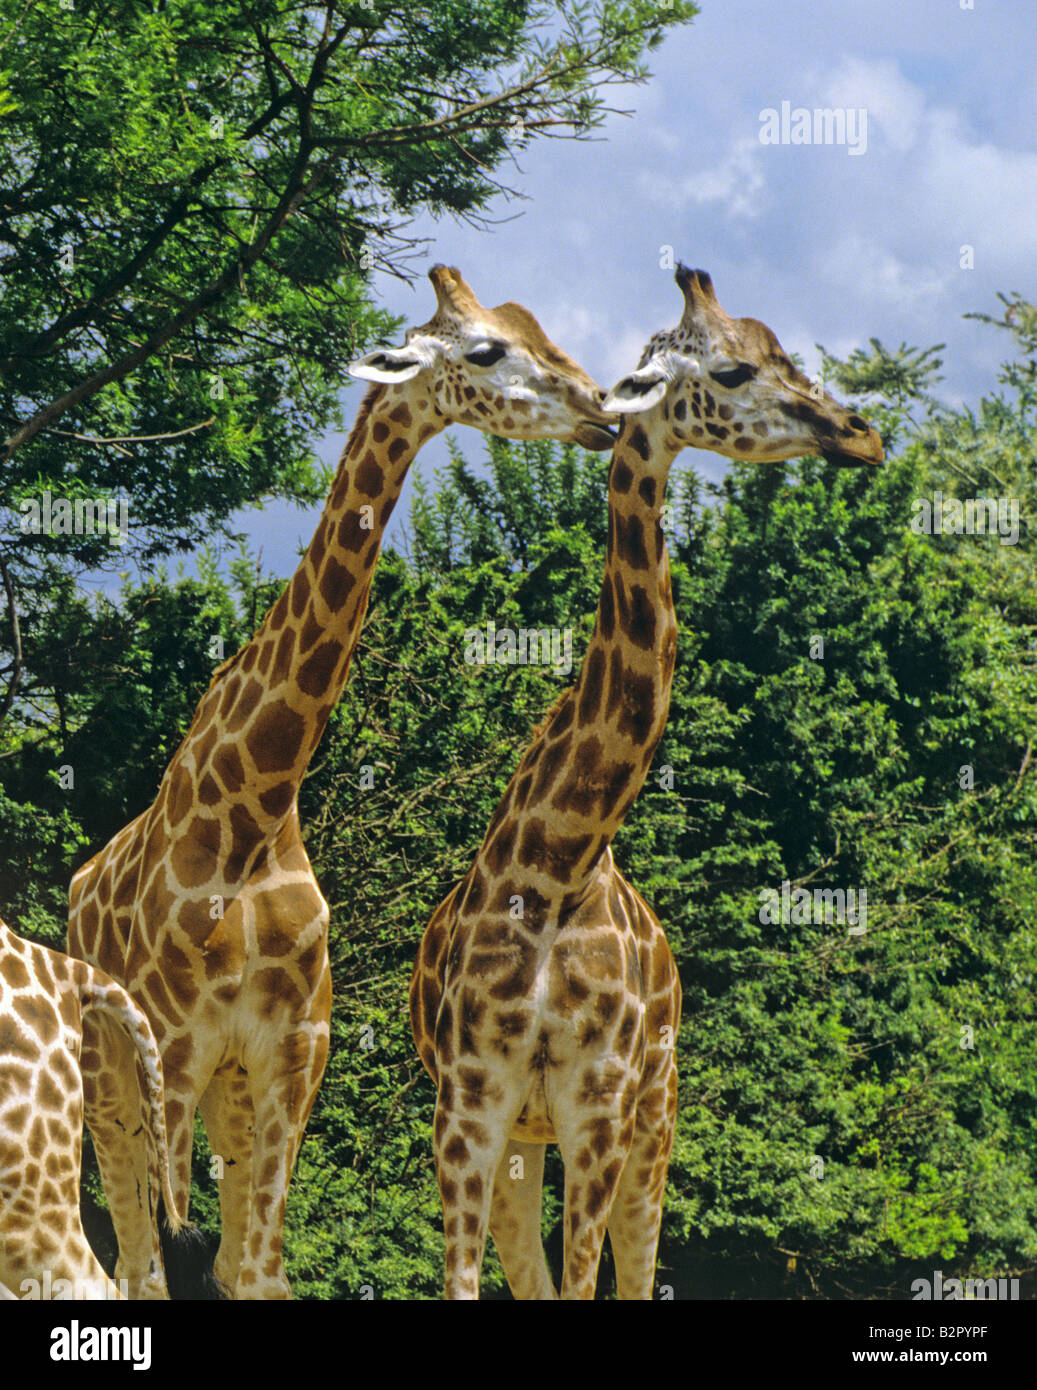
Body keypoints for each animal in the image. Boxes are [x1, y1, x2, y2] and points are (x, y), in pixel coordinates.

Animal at [66, 264, 617, 1300]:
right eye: (485, 349)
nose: (602, 410)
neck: (249, 814)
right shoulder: (177, 1049)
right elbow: (173, 1256)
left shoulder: (290, 1057)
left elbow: (256, 1267)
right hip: (115, 1080)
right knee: (129, 1249)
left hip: (231, 1099)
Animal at [410, 264, 884, 1299]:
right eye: (734, 366)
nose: (861, 432)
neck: (560, 863)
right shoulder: (468, 1107)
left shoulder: (598, 1108)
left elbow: (591, 1284)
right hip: (529, 1139)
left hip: (652, 1120)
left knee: (632, 1265)